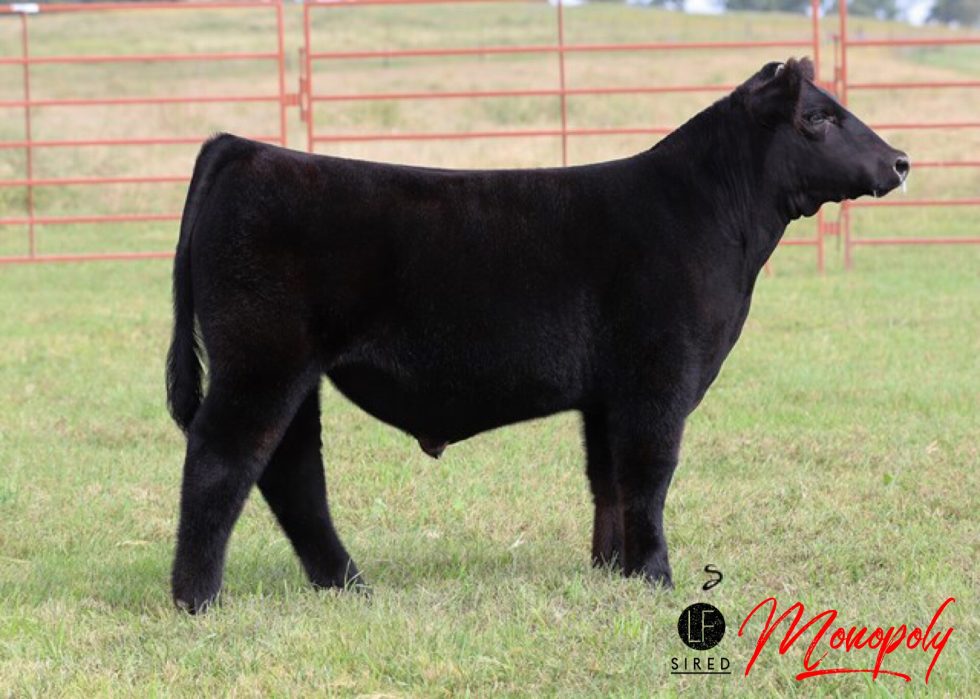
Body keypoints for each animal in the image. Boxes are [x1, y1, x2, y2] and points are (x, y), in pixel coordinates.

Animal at [166, 58, 909, 613]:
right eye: (819, 118)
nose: (901, 161)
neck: (712, 214)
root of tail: (246, 150)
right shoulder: (658, 376)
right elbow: (649, 472)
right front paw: (656, 576)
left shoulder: (608, 394)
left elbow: (608, 479)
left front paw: (612, 571)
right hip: (262, 360)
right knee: (223, 458)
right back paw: (198, 598)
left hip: (293, 370)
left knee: (291, 471)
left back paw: (346, 584)